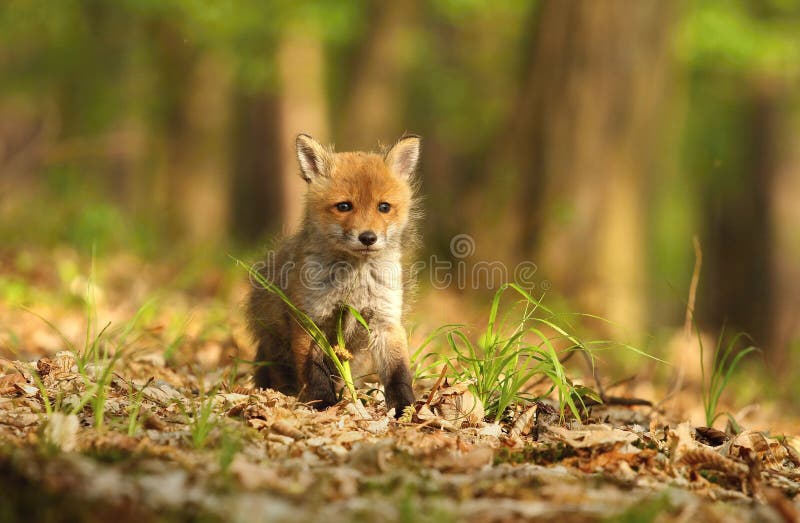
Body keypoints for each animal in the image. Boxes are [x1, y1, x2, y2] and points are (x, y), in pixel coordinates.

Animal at [246, 133, 421, 416]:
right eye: (344, 206)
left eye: (384, 207)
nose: (368, 238)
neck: (355, 280)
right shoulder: (312, 319)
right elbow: (314, 370)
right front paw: (322, 403)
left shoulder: (385, 321)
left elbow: (399, 373)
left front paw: (405, 408)